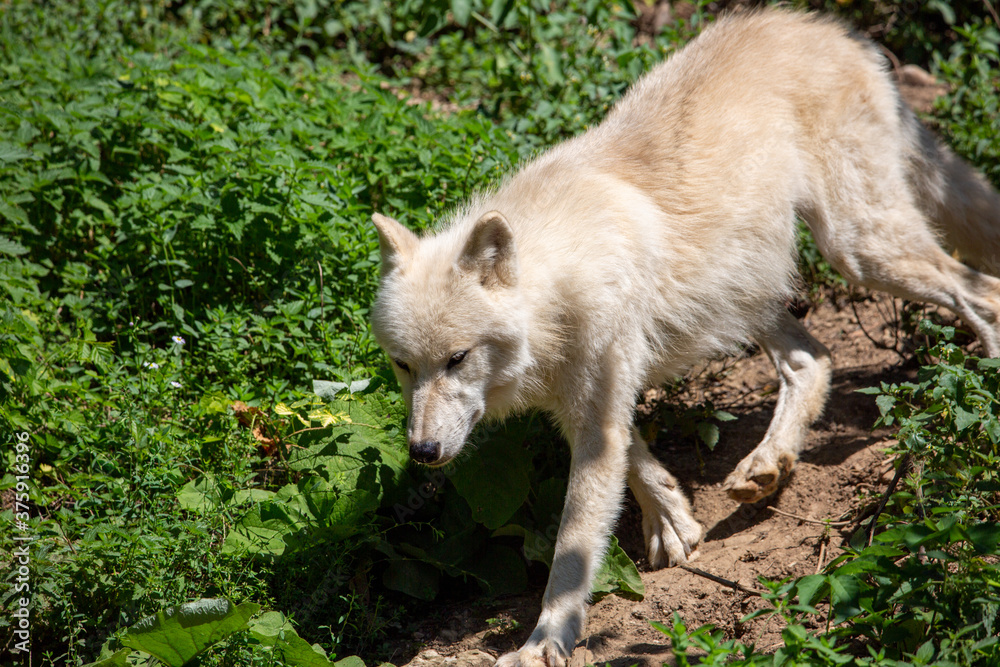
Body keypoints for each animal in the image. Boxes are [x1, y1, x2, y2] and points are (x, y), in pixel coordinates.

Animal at [369, 7, 1000, 666]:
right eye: (403, 365)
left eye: (457, 358)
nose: (422, 453)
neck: (558, 278)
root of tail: (828, 28)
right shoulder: (583, 403)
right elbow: (636, 461)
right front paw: (674, 521)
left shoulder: (596, 402)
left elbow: (573, 547)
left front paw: (543, 644)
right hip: (749, 292)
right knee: (814, 357)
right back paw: (767, 465)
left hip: (858, 253)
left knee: (985, 295)